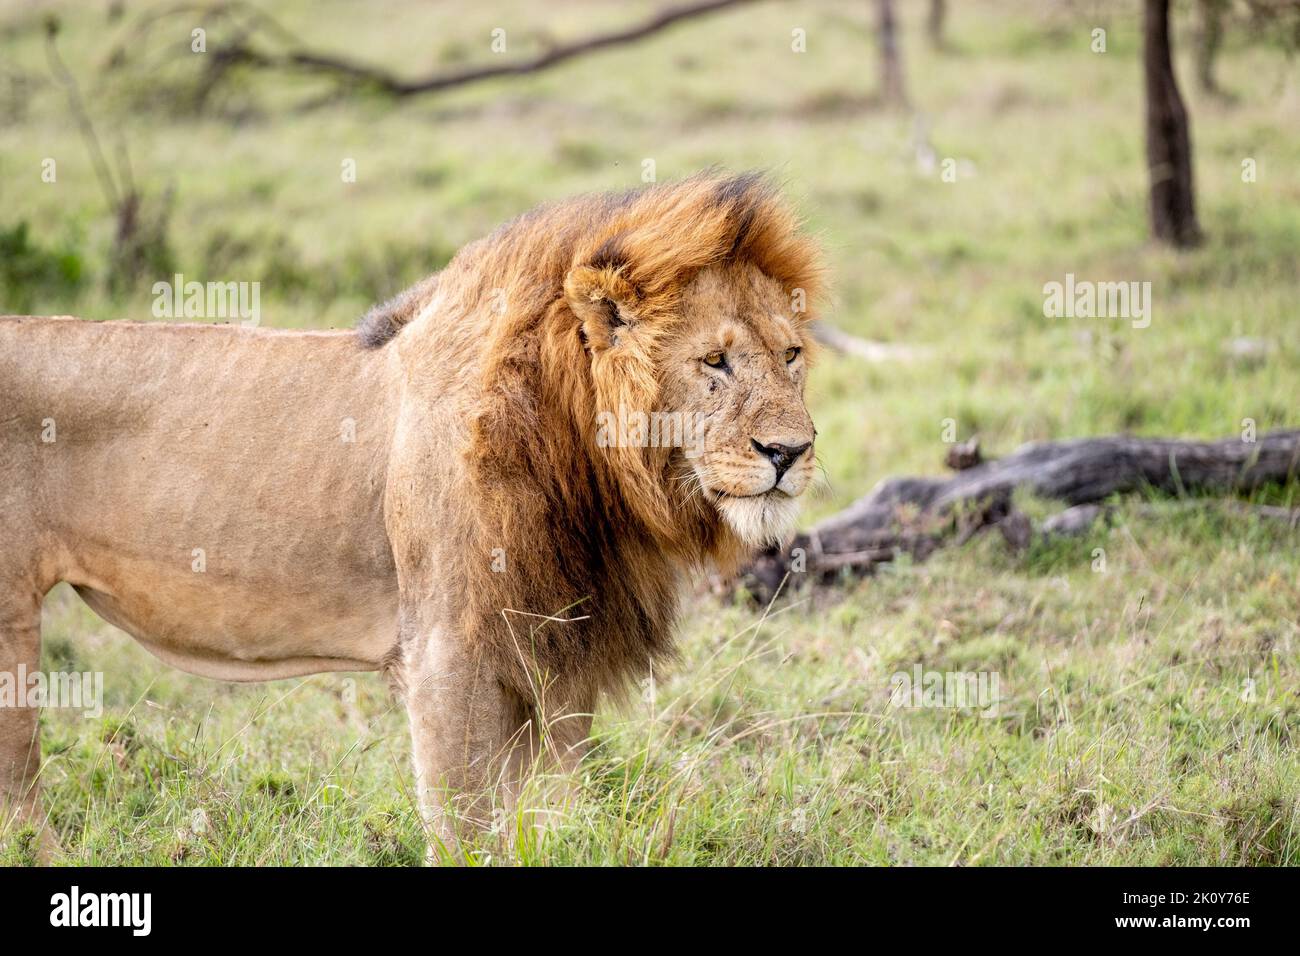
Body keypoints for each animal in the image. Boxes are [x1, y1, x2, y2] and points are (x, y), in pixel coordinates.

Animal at [0, 171, 823, 857]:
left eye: (790, 356)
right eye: (714, 362)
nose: (792, 450)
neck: (588, 459)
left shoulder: (556, 652)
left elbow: (546, 808)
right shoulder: (447, 650)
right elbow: (466, 827)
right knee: (18, 786)